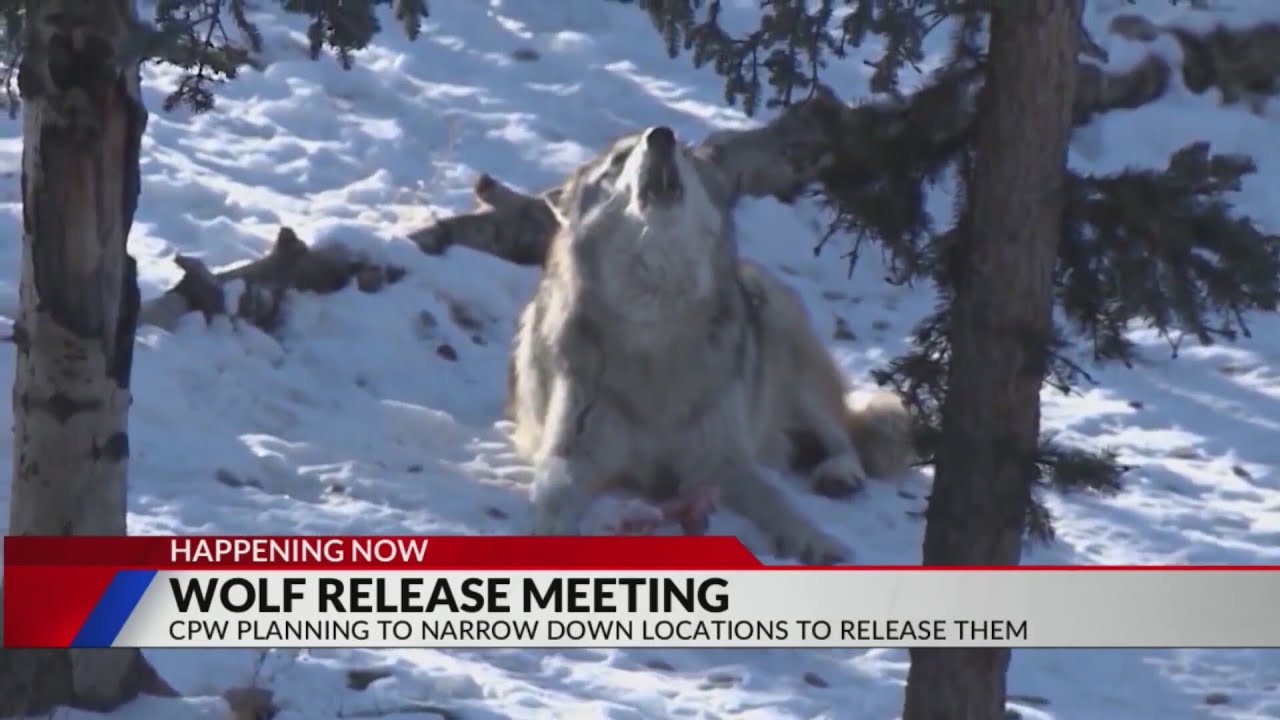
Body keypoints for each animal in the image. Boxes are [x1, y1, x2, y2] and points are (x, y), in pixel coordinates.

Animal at [505, 125, 915, 563]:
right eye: (619, 159)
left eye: (685, 153)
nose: (661, 136)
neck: (655, 327)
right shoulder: (570, 452)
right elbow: (554, 494)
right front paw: (545, 535)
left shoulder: (722, 462)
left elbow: (778, 502)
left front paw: (816, 540)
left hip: (795, 365)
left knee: (843, 438)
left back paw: (840, 474)